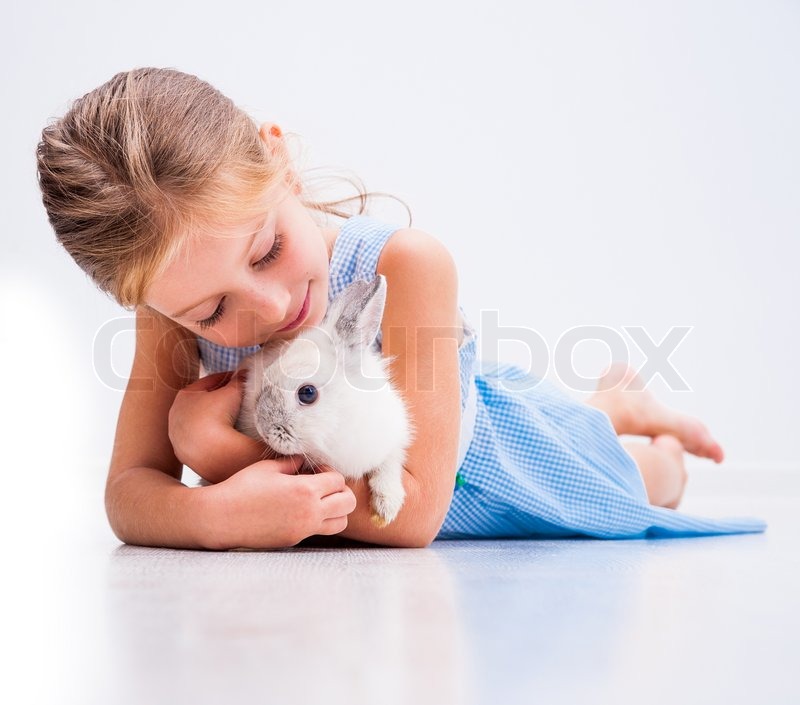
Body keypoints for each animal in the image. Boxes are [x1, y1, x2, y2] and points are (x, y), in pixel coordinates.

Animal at [235, 275, 413, 527]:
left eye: (307, 393)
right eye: (268, 372)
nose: (263, 428)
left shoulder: (392, 438)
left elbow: (389, 464)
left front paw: (385, 509)